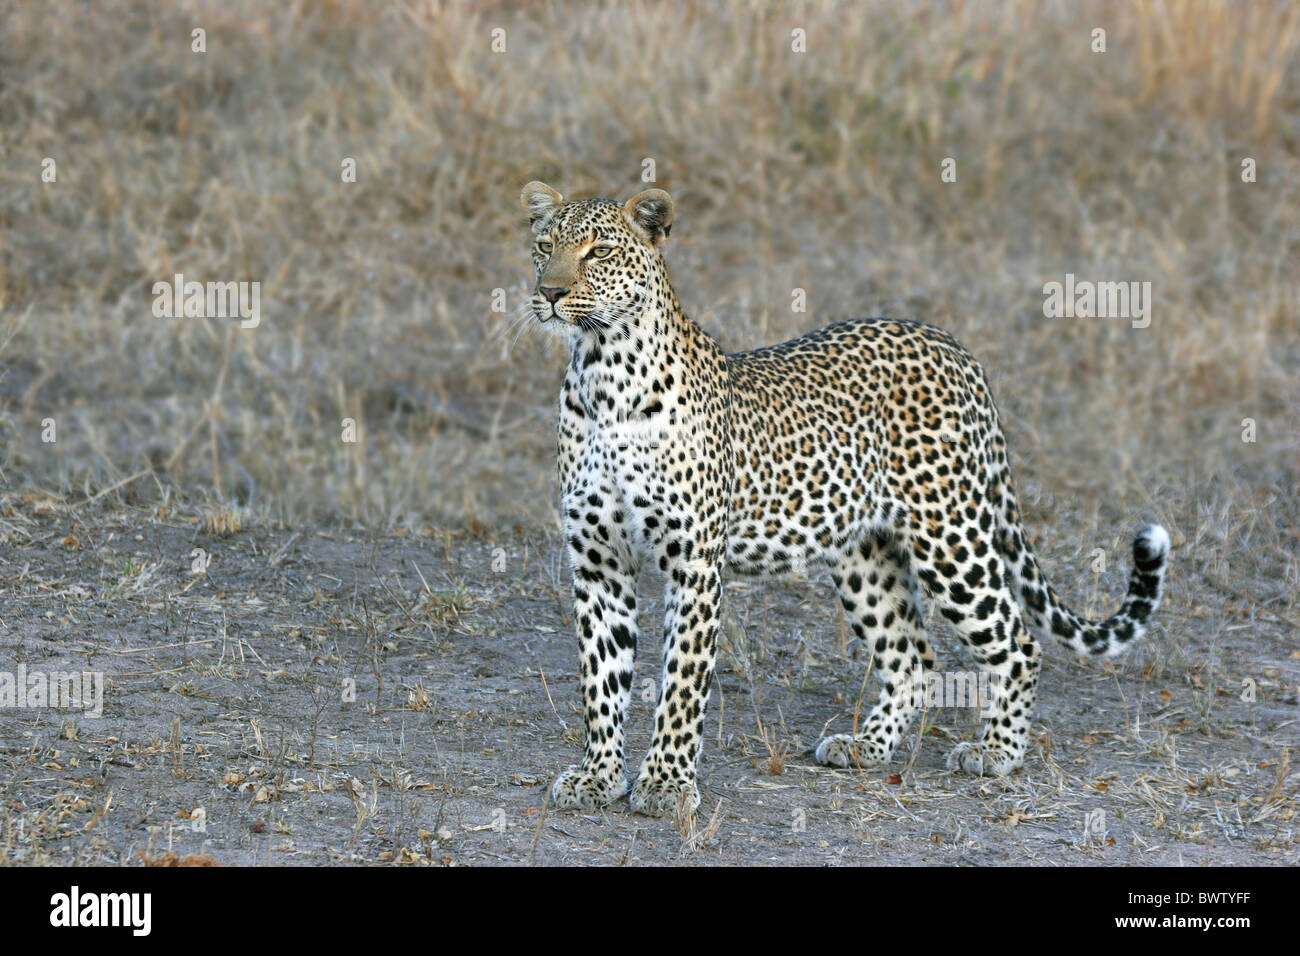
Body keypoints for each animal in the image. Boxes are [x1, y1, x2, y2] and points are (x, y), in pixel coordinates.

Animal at [519, 180, 1171, 817]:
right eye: (545, 246)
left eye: (599, 252)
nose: (550, 292)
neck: (602, 372)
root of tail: (955, 348)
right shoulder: (599, 561)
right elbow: (601, 678)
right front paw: (598, 777)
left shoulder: (694, 562)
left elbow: (681, 680)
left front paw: (667, 785)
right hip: (866, 554)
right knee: (912, 658)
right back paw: (866, 746)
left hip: (950, 536)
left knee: (1018, 641)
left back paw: (996, 751)